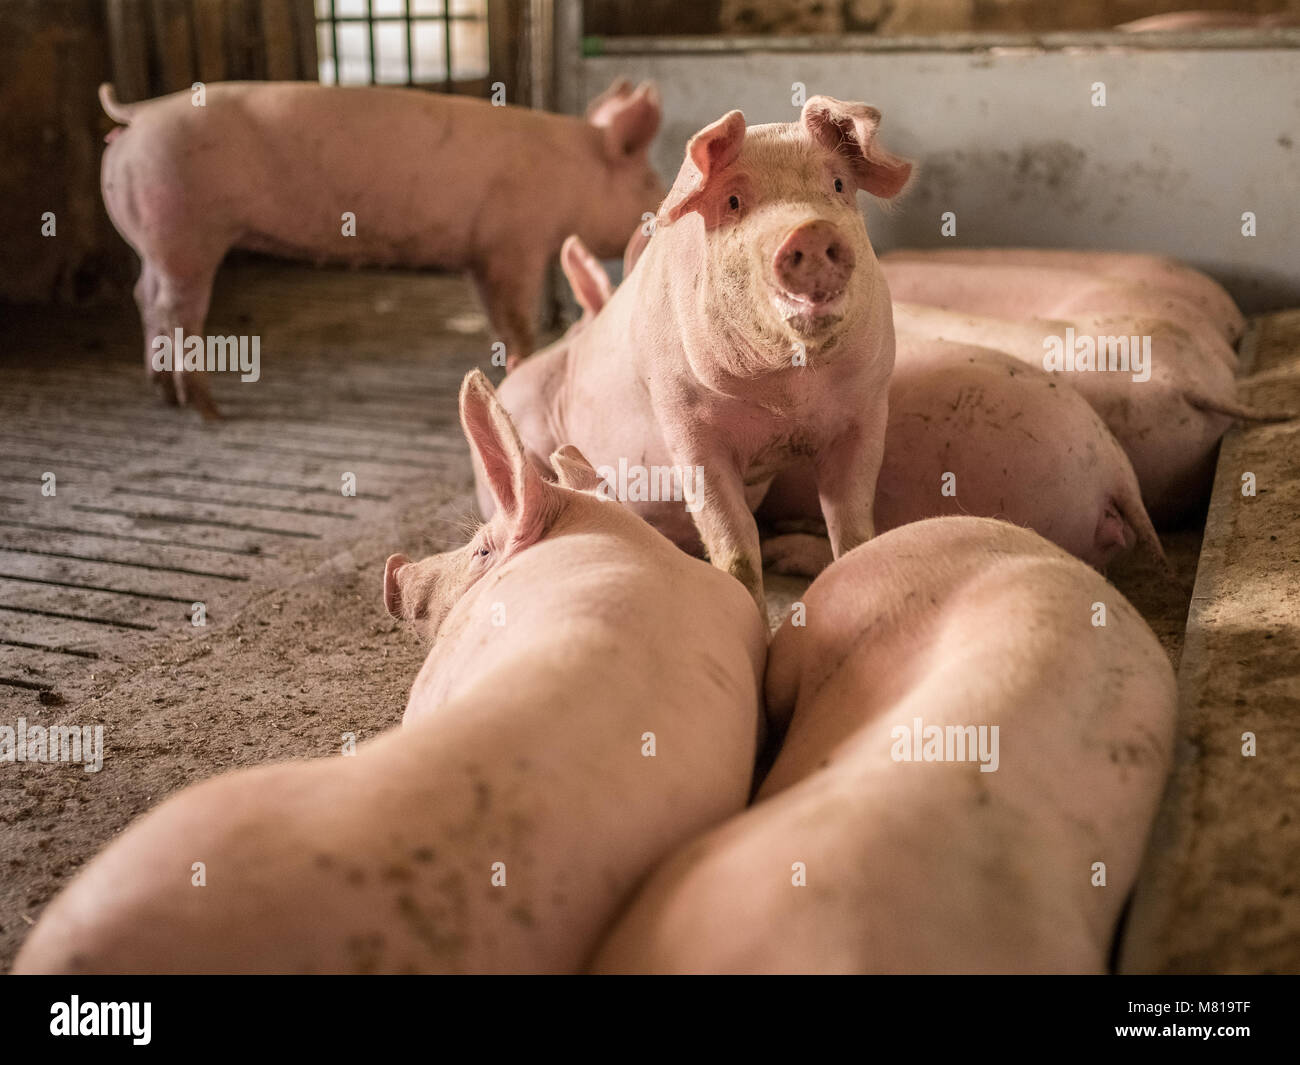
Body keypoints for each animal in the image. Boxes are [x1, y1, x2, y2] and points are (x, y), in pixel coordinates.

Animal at [98, 78, 665, 417]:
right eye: (647, 180)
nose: (659, 212)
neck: (572, 174)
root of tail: (138, 115)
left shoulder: (479, 255)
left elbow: (495, 318)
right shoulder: (512, 244)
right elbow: (515, 322)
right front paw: (521, 363)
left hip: (156, 241)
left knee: (143, 295)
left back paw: (161, 394)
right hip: (184, 232)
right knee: (176, 309)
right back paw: (204, 408)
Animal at [490, 96, 914, 610]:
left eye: (837, 185)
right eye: (732, 201)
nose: (810, 230)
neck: (788, 394)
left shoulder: (867, 409)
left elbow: (852, 523)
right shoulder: (684, 419)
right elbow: (734, 539)